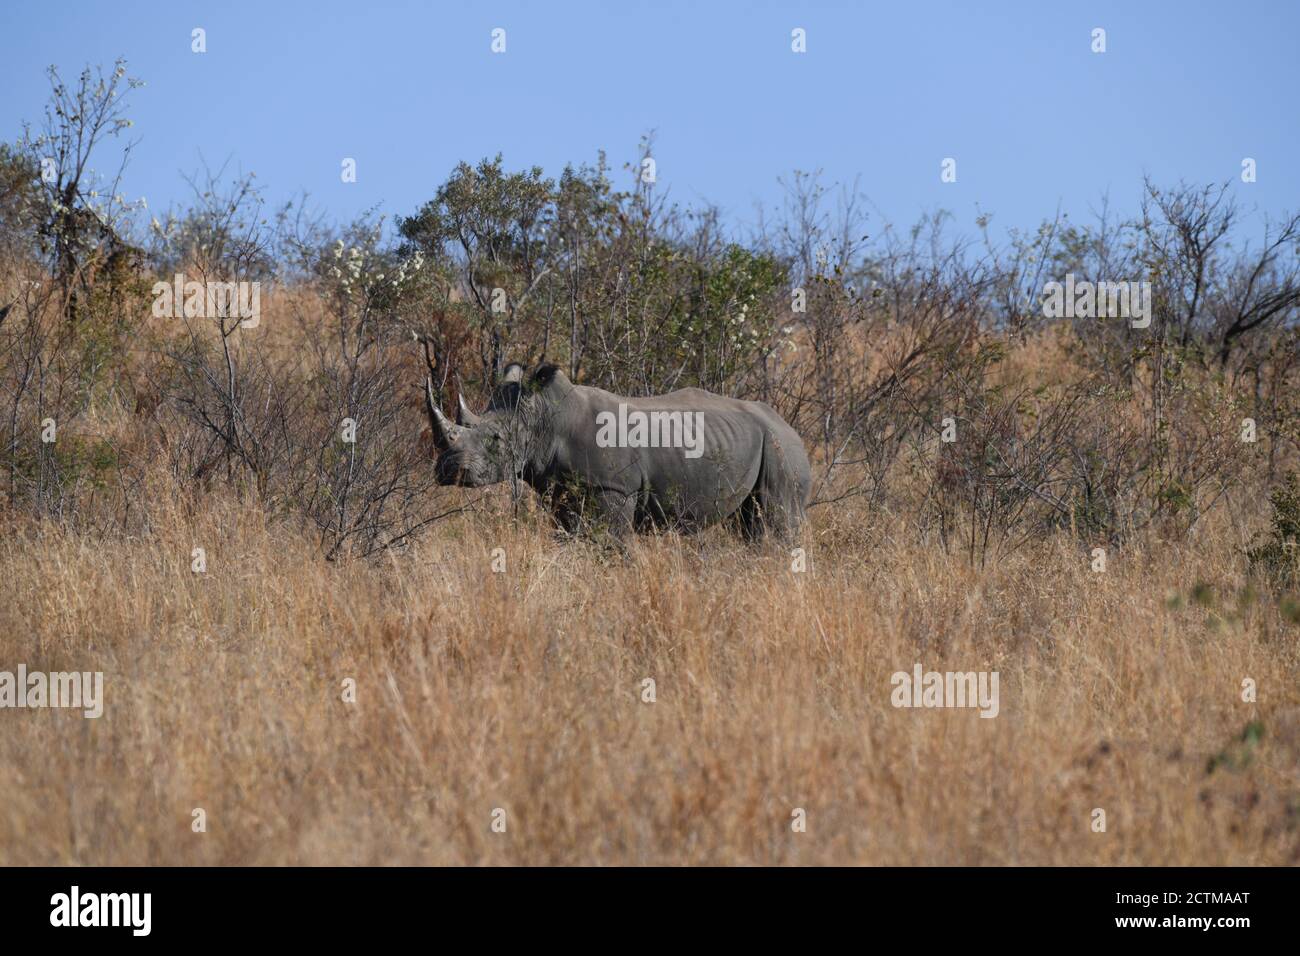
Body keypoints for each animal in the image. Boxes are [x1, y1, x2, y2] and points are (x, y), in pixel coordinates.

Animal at [423, 362, 811, 541]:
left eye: (496, 439)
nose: (447, 470)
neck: (546, 418)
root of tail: (790, 427)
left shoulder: (612, 488)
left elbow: (608, 545)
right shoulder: (563, 492)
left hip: (782, 448)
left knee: (773, 522)